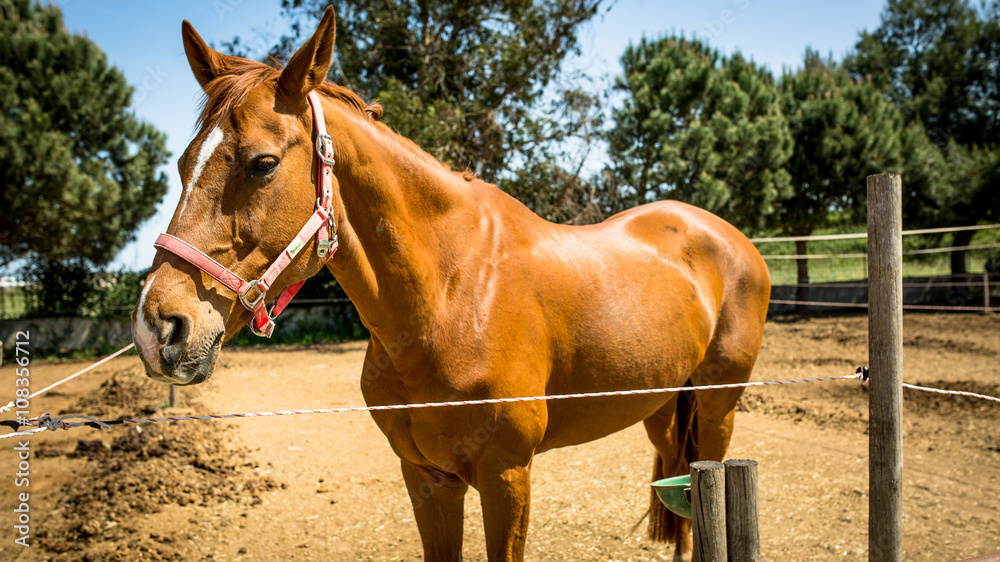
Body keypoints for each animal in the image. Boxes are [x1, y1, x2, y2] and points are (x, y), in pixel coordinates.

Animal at [130, 8, 770, 561]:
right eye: (183, 165)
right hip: (662, 405)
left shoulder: (507, 476)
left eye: (262, 163)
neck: (452, 296)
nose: (158, 327)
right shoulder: (427, 478)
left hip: (717, 411)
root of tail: (730, 239)